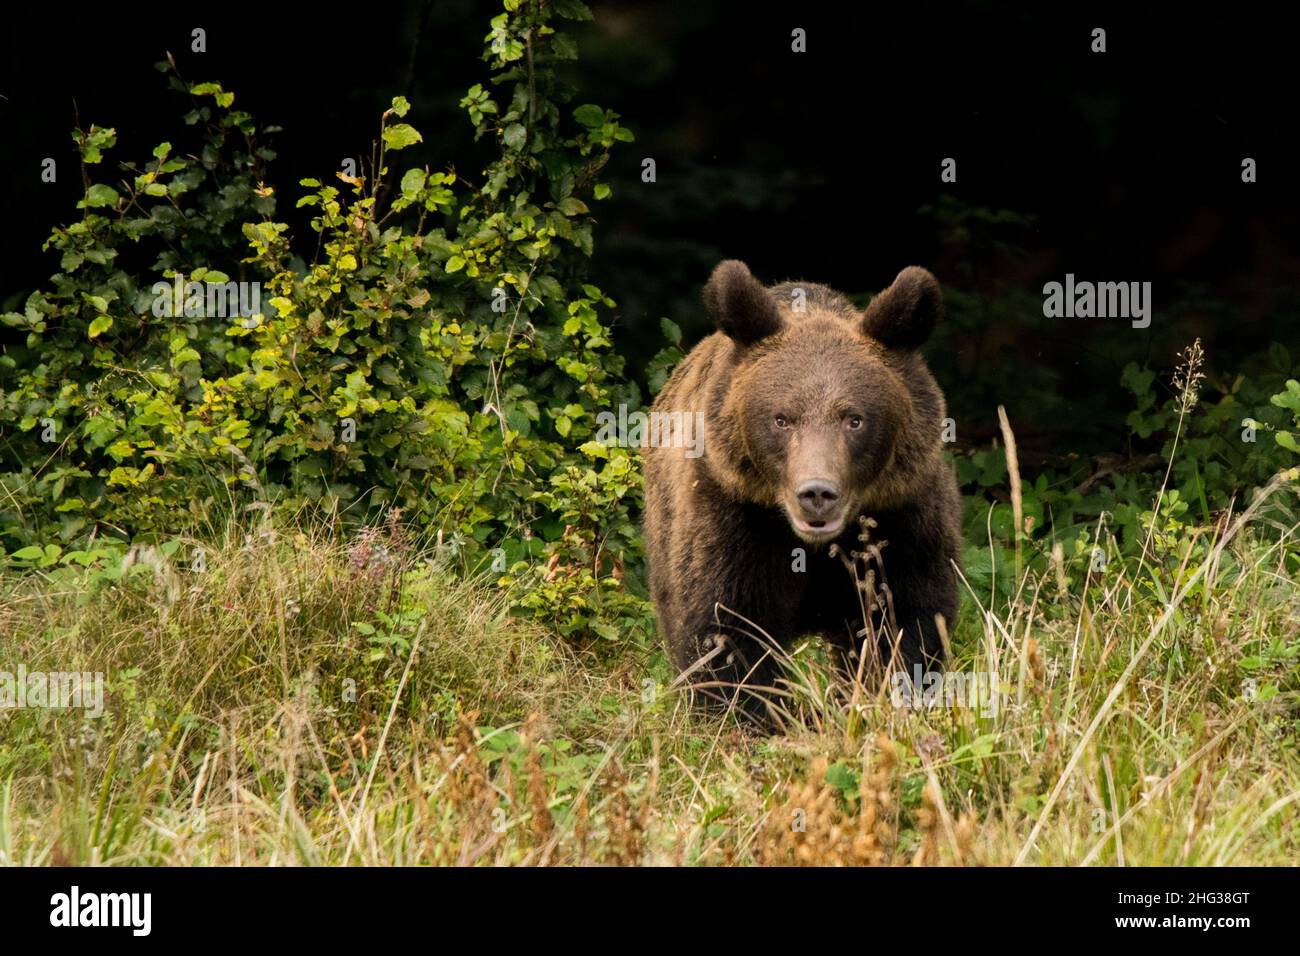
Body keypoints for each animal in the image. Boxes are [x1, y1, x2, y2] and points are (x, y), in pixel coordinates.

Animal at [643, 260, 961, 724]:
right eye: (782, 418)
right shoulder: (734, 512)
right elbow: (727, 623)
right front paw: (749, 715)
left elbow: (904, 617)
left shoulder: (902, 515)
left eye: (854, 419)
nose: (817, 492)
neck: (814, 546)